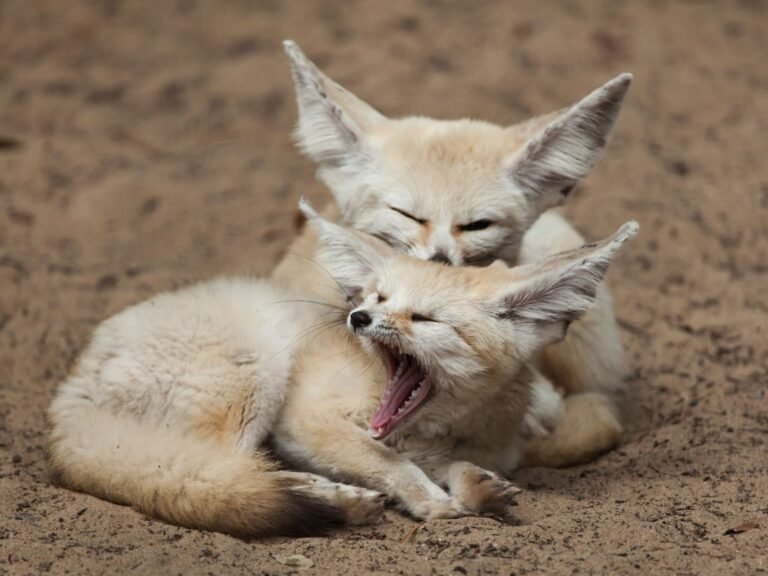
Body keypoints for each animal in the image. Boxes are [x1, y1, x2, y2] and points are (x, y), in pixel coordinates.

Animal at [48, 197, 637, 537]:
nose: (357, 317)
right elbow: (394, 464)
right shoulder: (307, 423)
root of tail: (66, 398)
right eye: (378, 298)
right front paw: (436, 504)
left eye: (424, 318)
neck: (439, 426)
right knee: (221, 473)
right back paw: (335, 502)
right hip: (257, 374)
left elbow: (445, 465)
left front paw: (475, 488)